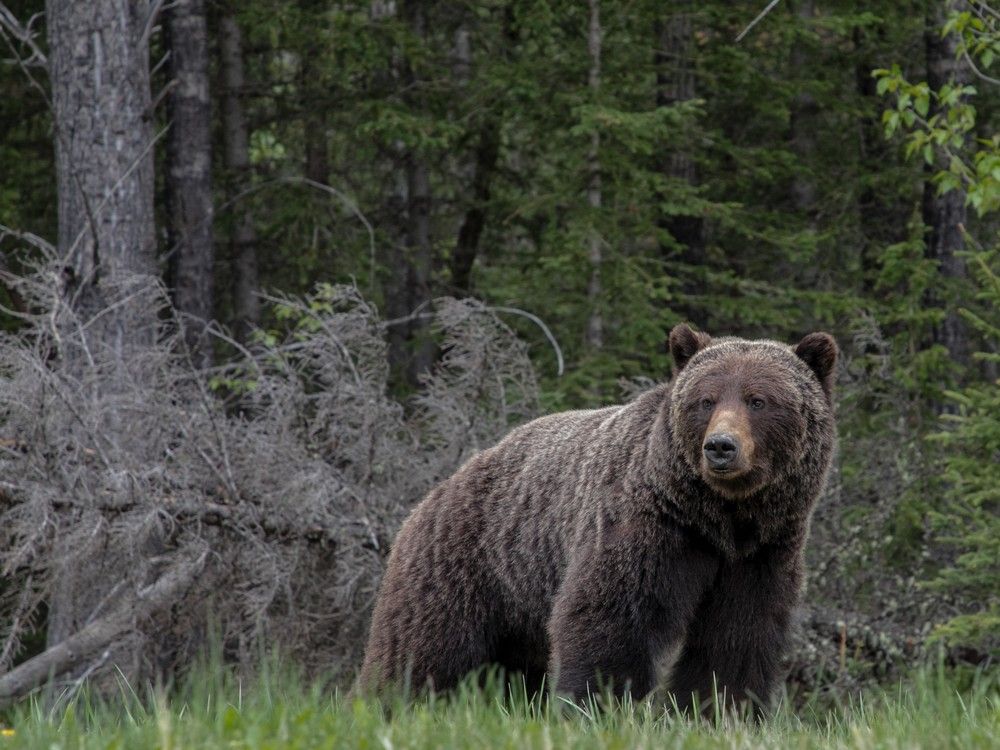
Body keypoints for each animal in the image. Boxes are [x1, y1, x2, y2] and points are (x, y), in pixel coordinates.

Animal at [359, 323, 837, 714]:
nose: (721, 446)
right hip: (465, 564)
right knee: (421, 648)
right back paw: (387, 704)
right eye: (706, 400)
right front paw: (599, 704)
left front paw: (720, 710)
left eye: (759, 400)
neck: (719, 518)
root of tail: (438, 490)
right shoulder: (647, 525)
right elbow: (610, 615)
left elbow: (737, 635)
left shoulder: (760, 553)